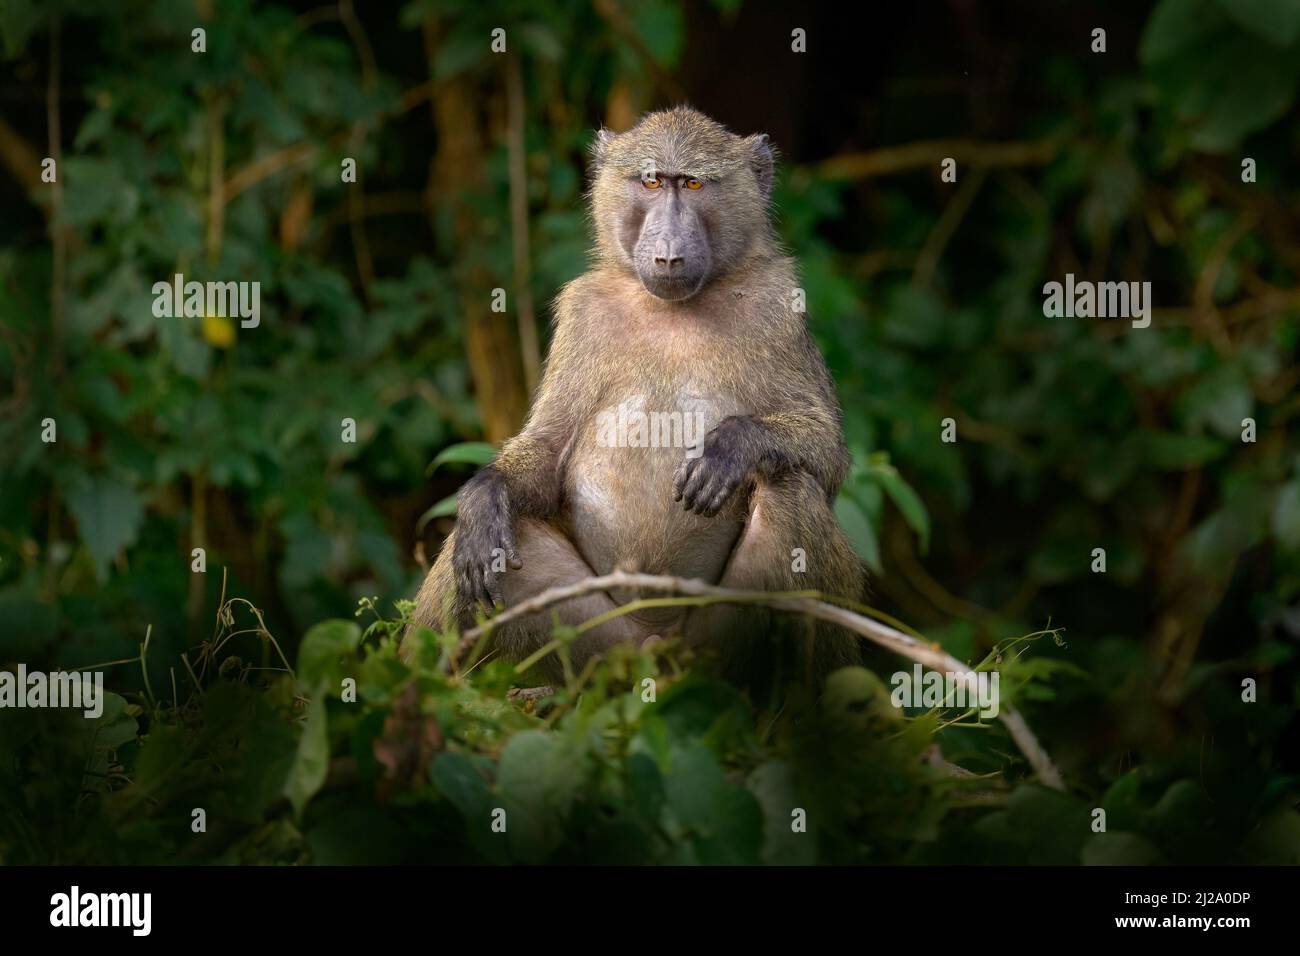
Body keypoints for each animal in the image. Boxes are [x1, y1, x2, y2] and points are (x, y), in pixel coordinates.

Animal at [405, 106, 865, 689]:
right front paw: (485, 495)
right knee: (482, 550)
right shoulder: (582, 312)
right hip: (593, 646)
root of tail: (654, 651)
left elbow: (828, 456)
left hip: (717, 646)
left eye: (692, 184)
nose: (668, 255)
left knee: (790, 488)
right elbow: (546, 455)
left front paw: (730, 446)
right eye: (650, 182)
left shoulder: (778, 304)